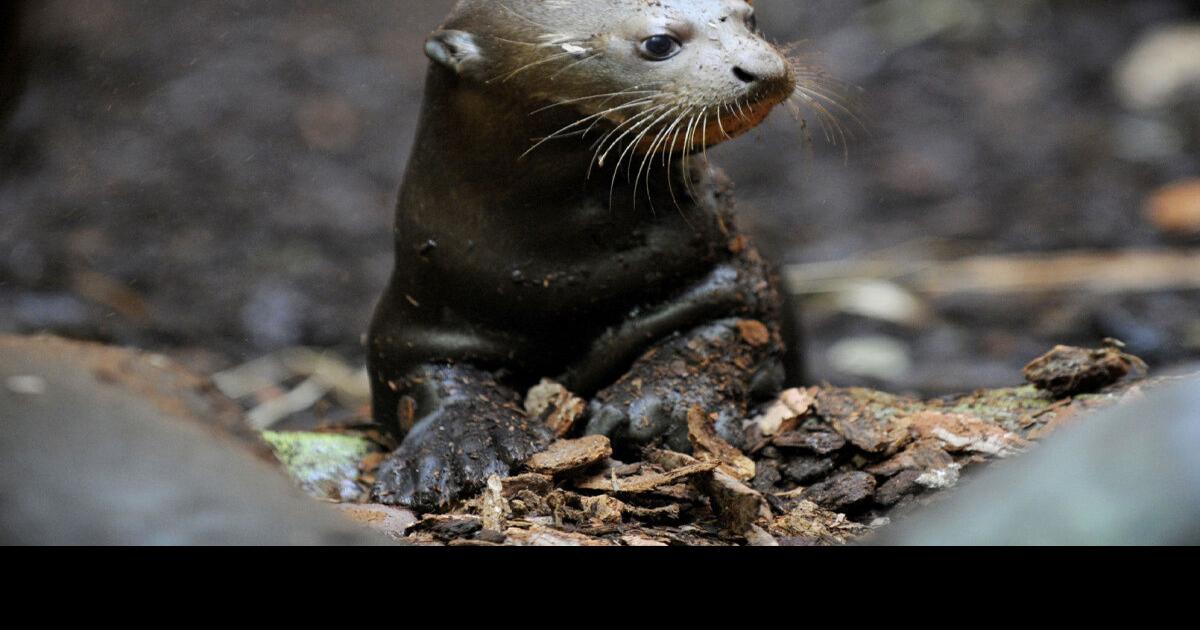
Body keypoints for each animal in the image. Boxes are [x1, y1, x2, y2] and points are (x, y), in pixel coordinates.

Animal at [369, 0, 821, 512]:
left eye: (750, 17)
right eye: (659, 43)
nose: (762, 67)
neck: (561, 278)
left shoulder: (737, 273)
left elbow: (723, 328)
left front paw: (661, 406)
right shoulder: (415, 308)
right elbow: (422, 372)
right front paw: (457, 443)